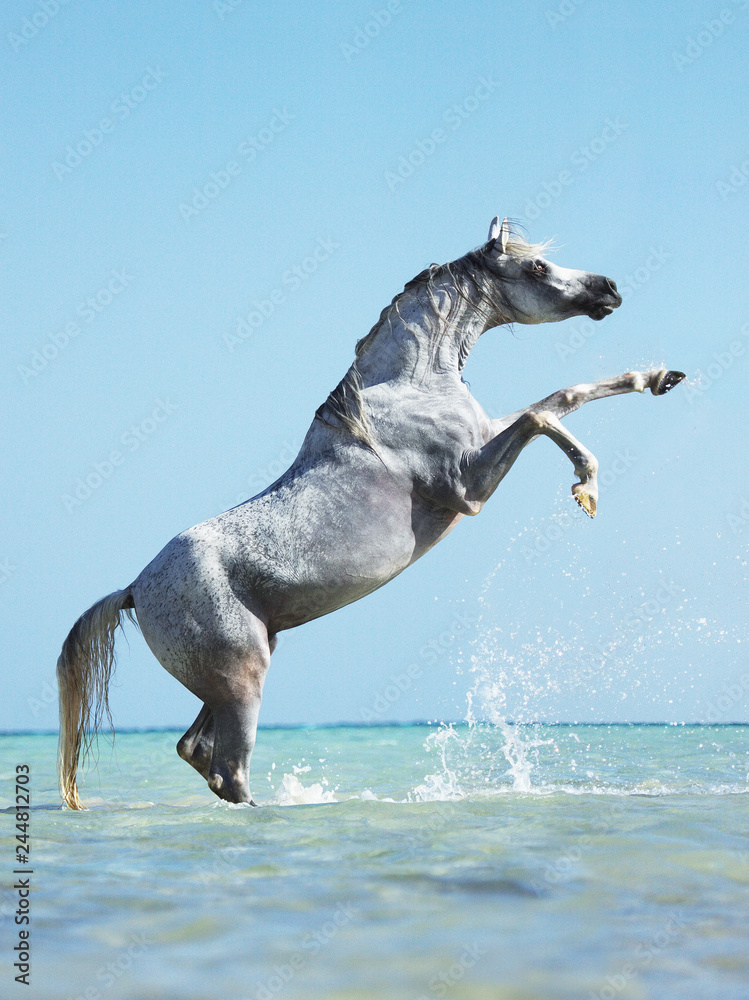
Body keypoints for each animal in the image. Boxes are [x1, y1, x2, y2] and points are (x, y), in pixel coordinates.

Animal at [56, 217, 684, 808]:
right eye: (535, 266)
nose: (609, 289)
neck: (411, 387)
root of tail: (135, 588)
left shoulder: (484, 446)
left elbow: (563, 398)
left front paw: (658, 377)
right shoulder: (467, 488)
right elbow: (541, 414)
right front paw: (587, 486)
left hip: (233, 673)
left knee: (196, 751)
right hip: (243, 678)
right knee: (227, 768)